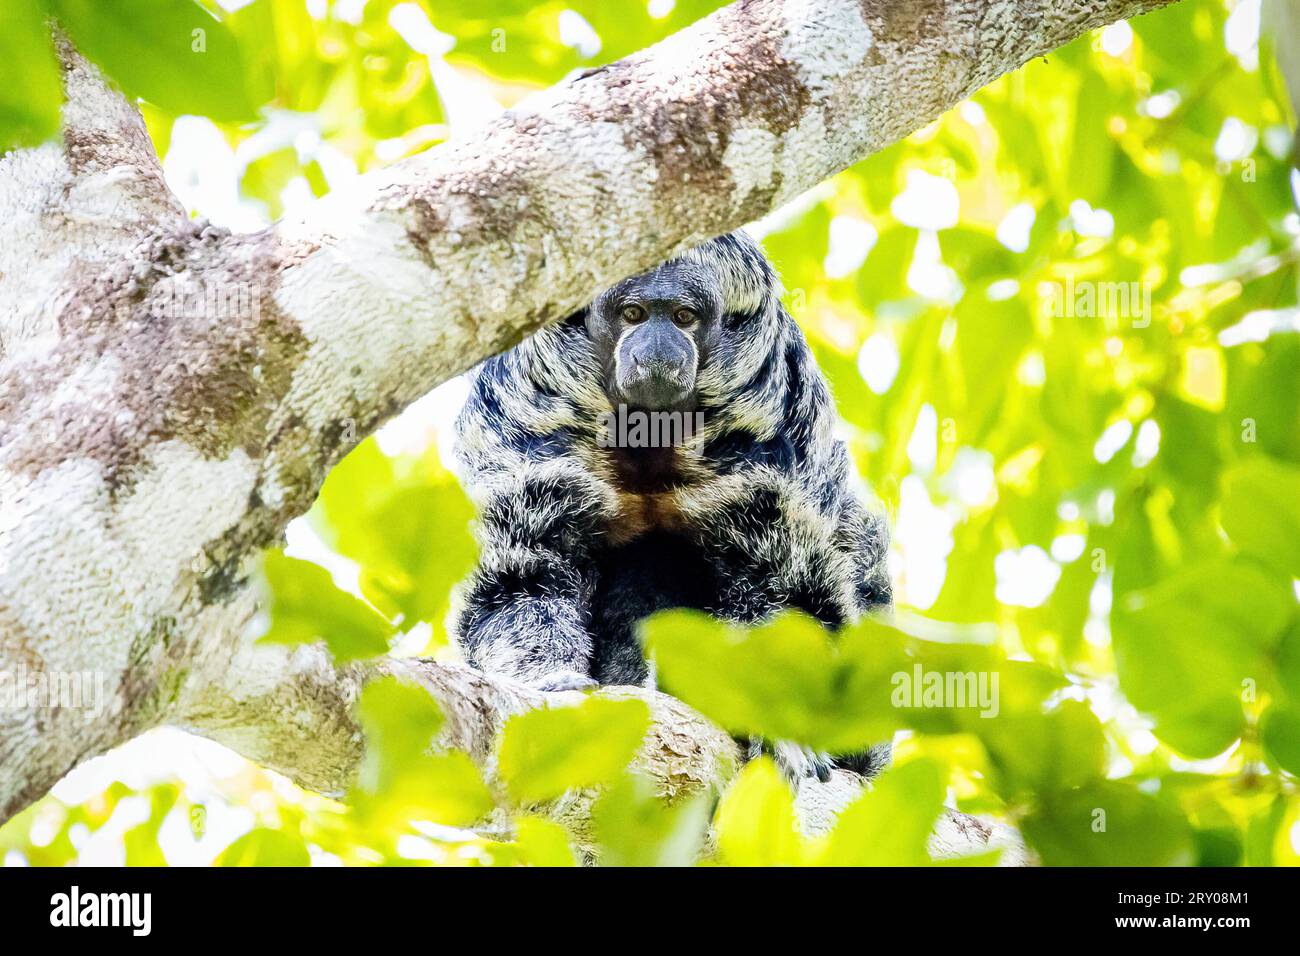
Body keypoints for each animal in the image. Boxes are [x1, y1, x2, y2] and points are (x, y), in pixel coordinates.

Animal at [450, 231, 892, 780]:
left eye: (683, 317)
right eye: (634, 314)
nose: (658, 345)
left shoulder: (777, 414)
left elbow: (787, 581)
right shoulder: (525, 405)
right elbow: (523, 567)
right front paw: (550, 678)